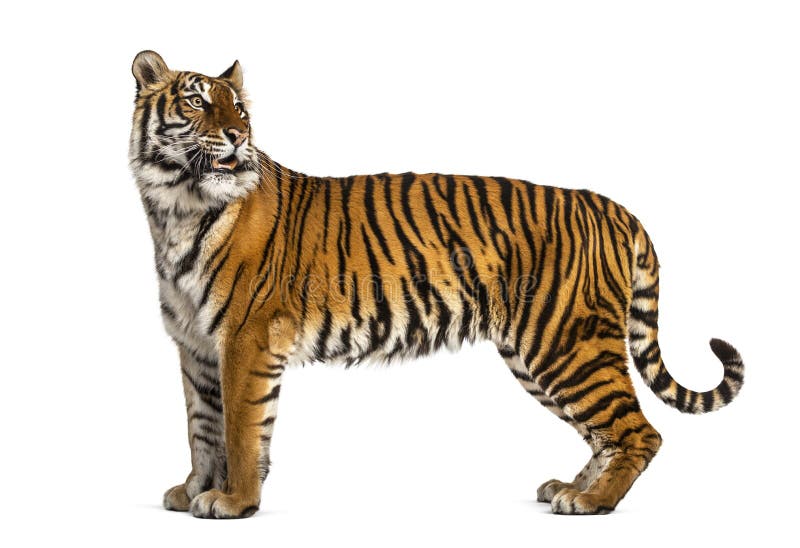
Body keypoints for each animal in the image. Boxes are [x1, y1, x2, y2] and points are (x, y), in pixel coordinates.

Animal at [129, 50, 744, 519]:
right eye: (197, 101)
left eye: (238, 108)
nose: (236, 135)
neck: (175, 208)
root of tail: (612, 207)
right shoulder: (196, 345)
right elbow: (202, 425)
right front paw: (192, 490)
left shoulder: (246, 340)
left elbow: (239, 425)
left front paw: (233, 501)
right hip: (537, 352)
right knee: (605, 432)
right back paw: (571, 488)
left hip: (566, 342)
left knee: (639, 431)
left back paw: (593, 503)